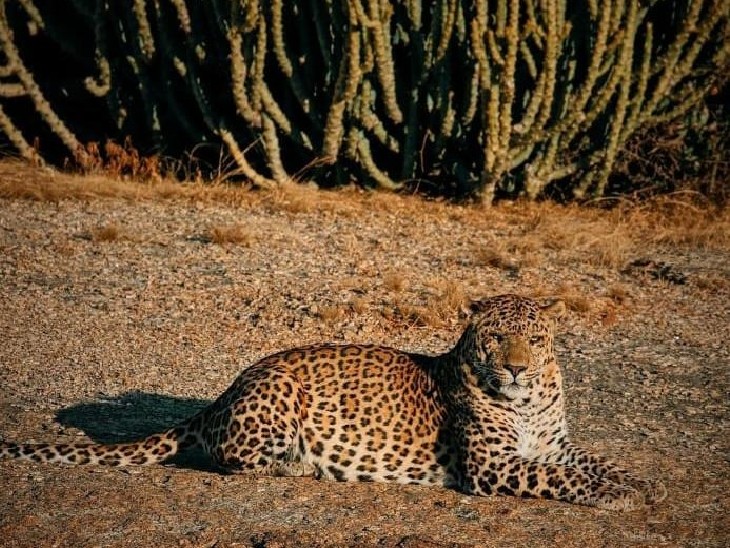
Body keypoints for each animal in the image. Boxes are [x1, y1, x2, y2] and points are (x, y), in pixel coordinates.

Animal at [0, 293, 666, 511]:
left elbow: (590, 462)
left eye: (534, 338)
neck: (528, 402)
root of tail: (223, 392)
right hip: (276, 398)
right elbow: (559, 479)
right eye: (495, 337)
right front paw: (614, 497)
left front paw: (636, 482)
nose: (515, 368)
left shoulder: (555, 444)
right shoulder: (492, 465)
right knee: (231, 459)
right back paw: (301, 467)